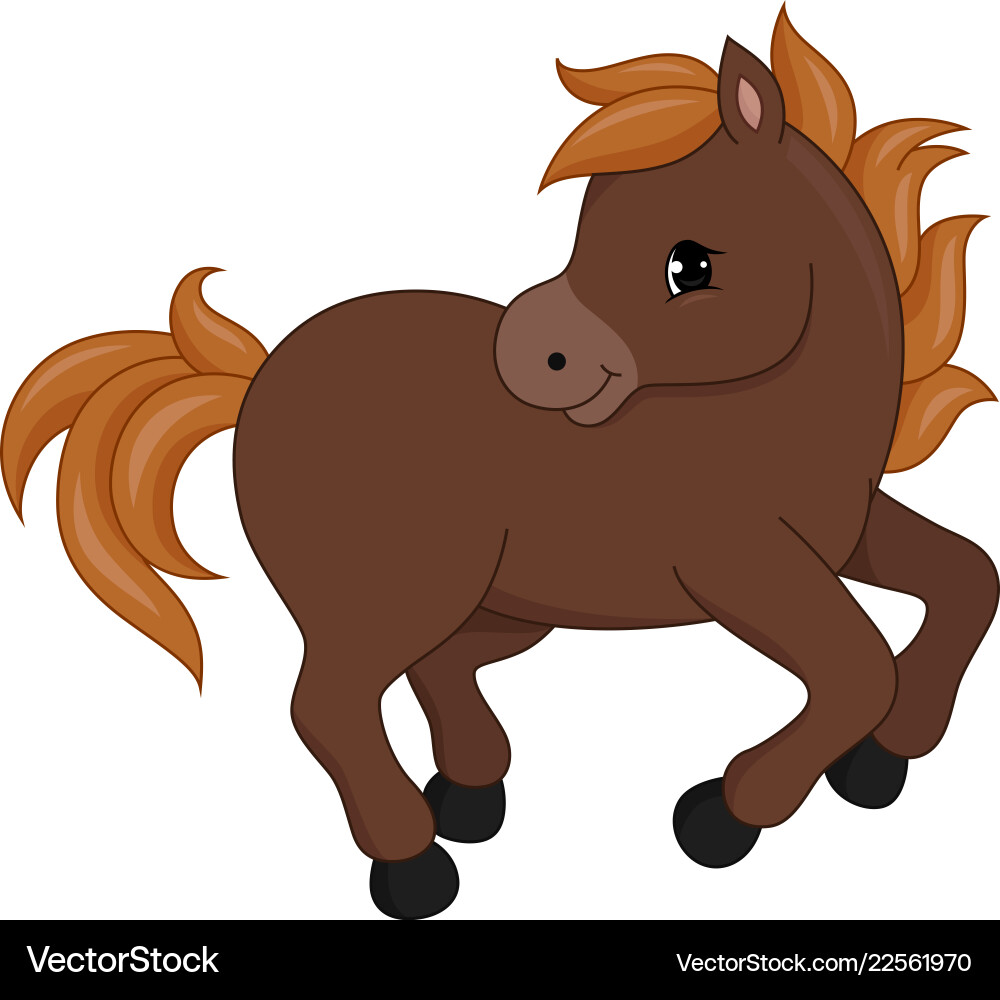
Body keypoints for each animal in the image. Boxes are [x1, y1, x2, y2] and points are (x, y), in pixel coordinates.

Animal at [3, 8, 996, 919]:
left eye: (691, 263)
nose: (527, 354)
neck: (756, 419)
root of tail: (257, 378)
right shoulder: (739, 561)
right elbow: (857, 666)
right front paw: (721, 817)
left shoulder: (841, 535)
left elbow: (965, 579)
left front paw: (882, 761)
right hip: (392, 591)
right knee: (331, 703)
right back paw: (413, 864)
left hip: (500, 603)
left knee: (435, 669)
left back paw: (471, 794)